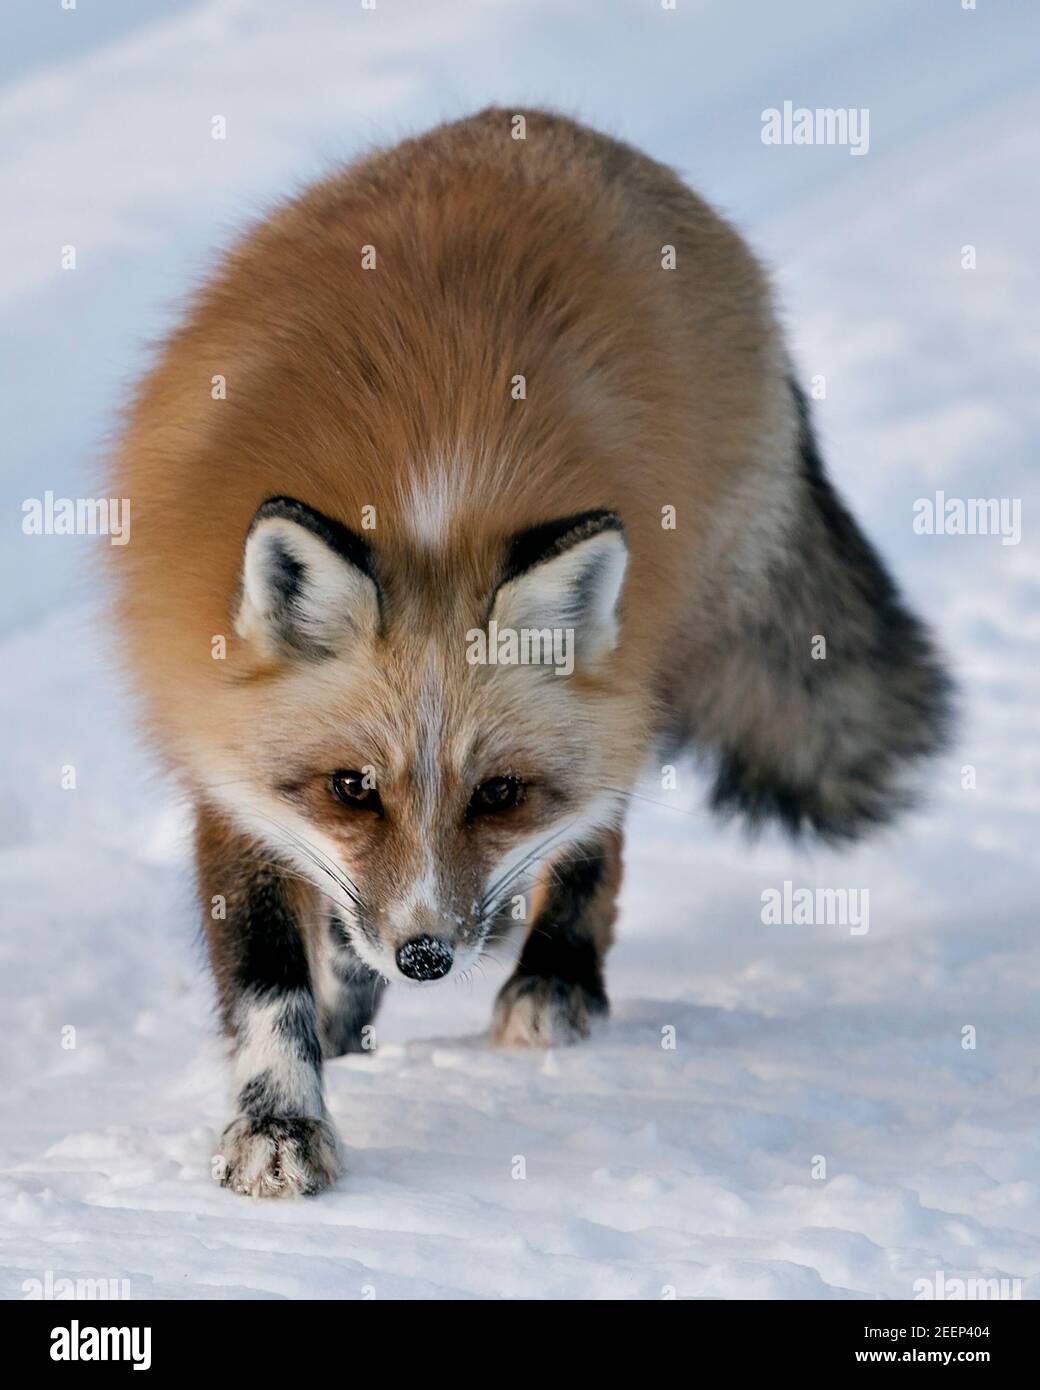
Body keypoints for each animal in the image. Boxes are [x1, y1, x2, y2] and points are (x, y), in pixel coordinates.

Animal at [110, 108, 951, 1198]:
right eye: (350, 788)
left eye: (499, 793)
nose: (426, 958)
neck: (430, 495)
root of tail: (554, 126)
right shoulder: (226, 763)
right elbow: (267, 979)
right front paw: (281, 1116)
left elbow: (566, 844)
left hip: (643, 652)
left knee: (598, 836)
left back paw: (553, 972)